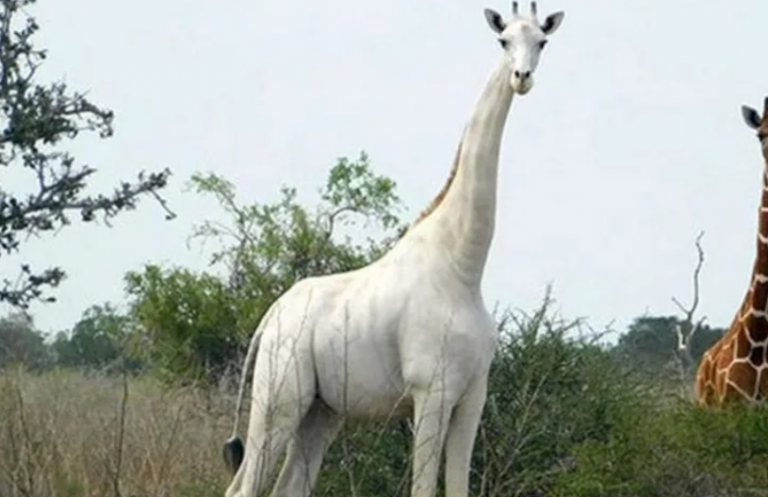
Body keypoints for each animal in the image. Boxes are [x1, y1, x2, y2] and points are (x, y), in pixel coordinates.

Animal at [221, 3, 565, 497]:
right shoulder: (431, 391)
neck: (463, 267)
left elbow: (458, 486)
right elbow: (422, 488)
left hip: (321, 412)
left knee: (288, 486)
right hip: (279, 400)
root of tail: (269, 319)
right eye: (503, 41)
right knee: (243, 487)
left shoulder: (472, 396)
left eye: (542, 41)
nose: (522, 77)